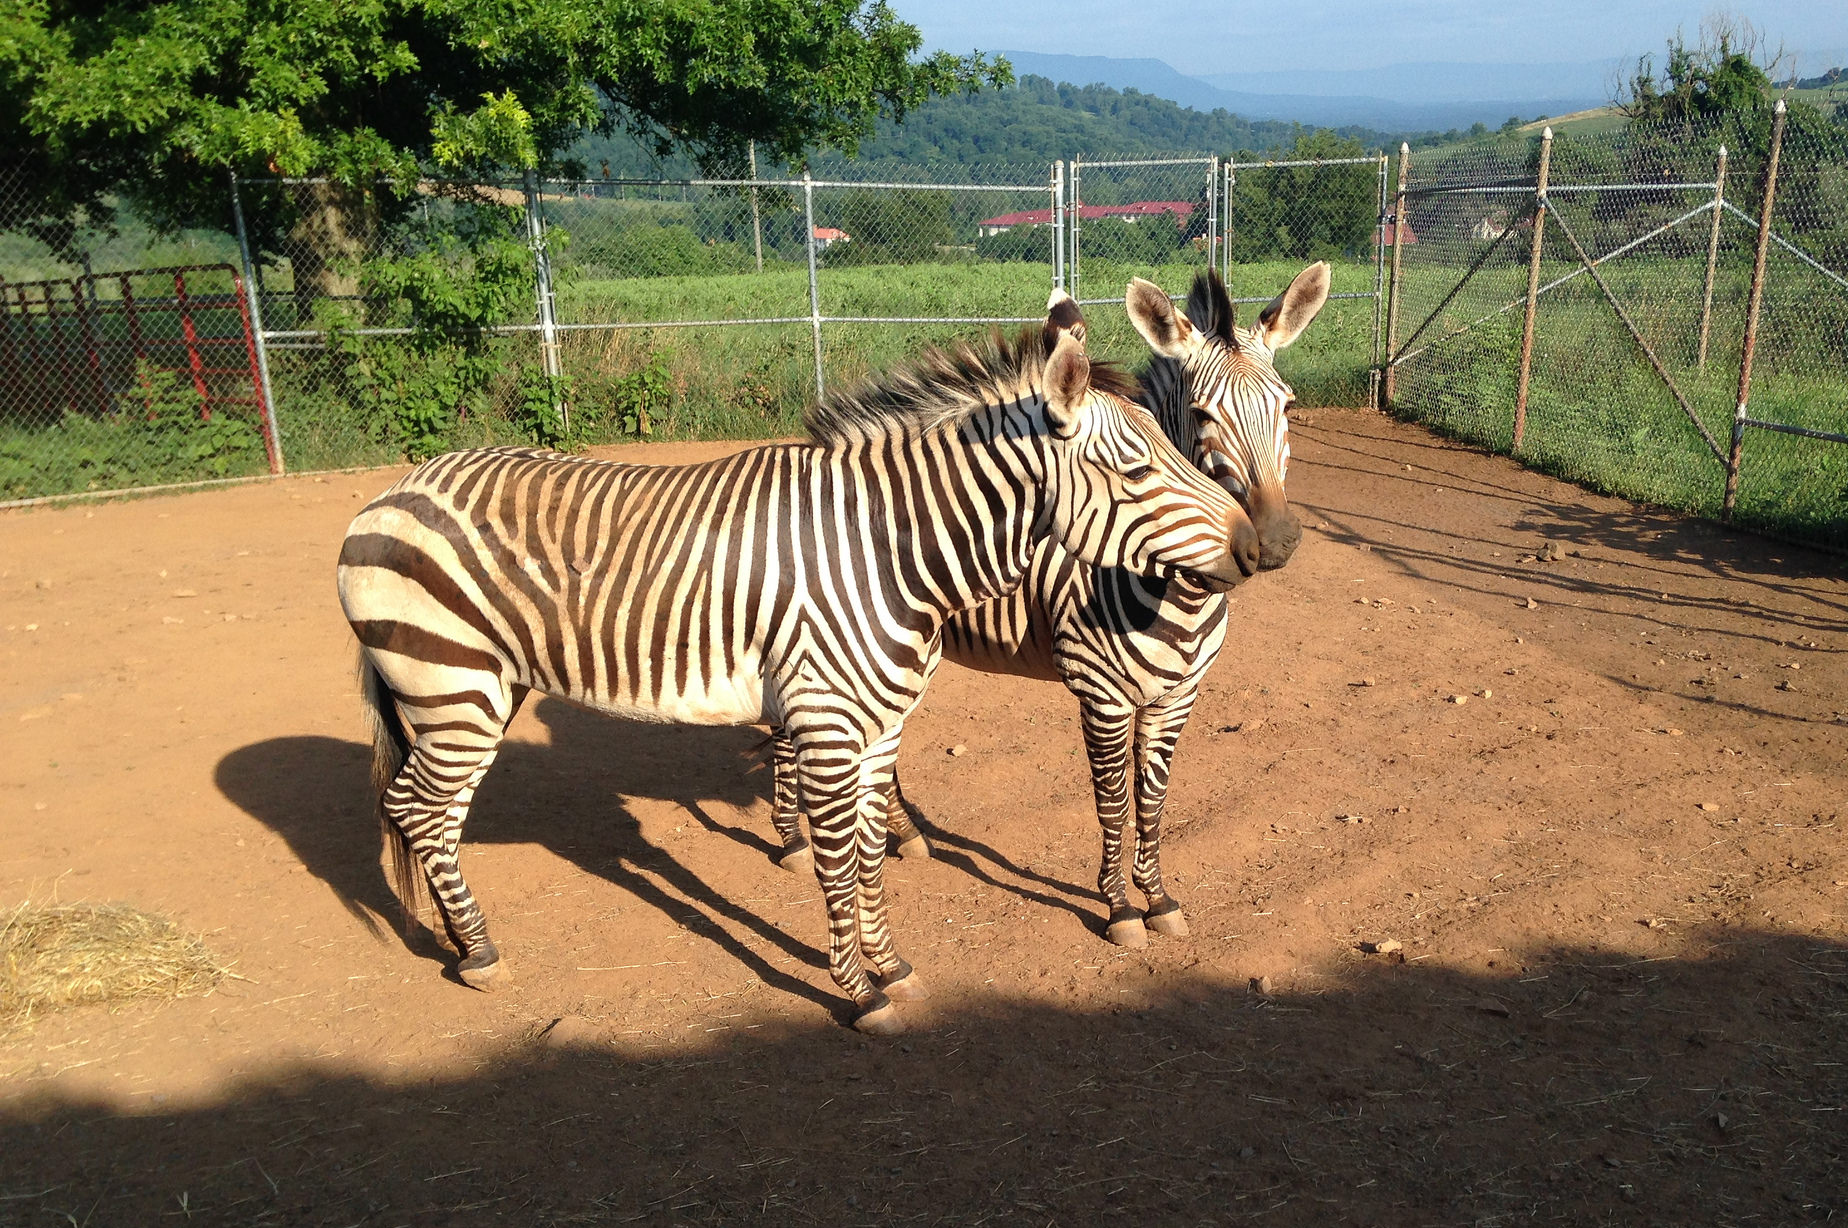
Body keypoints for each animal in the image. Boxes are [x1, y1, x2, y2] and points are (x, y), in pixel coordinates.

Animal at [337, 293, 1259, 1034]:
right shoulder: (825, 723)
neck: (889, 550)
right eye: (1137, 469)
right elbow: (836, 860)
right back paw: (479, 952)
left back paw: (464, 944)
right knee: (416, 810)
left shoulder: (880, 729)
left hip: (482, 691)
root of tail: (398, 488)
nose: (1261, 546)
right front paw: (858, 992)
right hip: (451, 687)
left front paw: (891, 965)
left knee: (429, 815)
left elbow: (867, 854)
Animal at [765, 264, 1329, 948]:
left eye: (1288, 407)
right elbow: (1113, 802)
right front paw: (1120, 908)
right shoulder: (1101, 695)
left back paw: (905, 833)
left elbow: (1154, 798)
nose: (1273, 542)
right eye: (1199, 413)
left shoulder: (1177, 697)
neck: (1172, 593)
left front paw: (1158, 897)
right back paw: (792, 841)